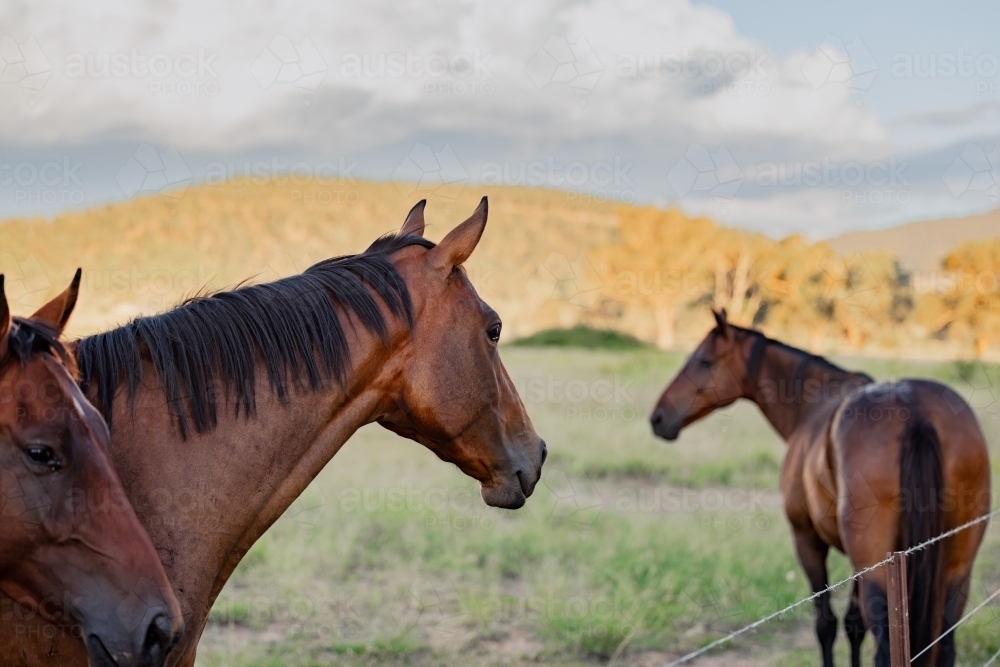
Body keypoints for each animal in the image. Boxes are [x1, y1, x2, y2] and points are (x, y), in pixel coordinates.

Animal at [650, 310, 990, 667]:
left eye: (704, 361)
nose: (658, 417)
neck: (811, 405)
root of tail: (915, 412)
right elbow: (854, 625)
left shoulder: (808, 540)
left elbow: (826, 624)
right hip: (955, 568)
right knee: (945, 642)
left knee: (884, 645)